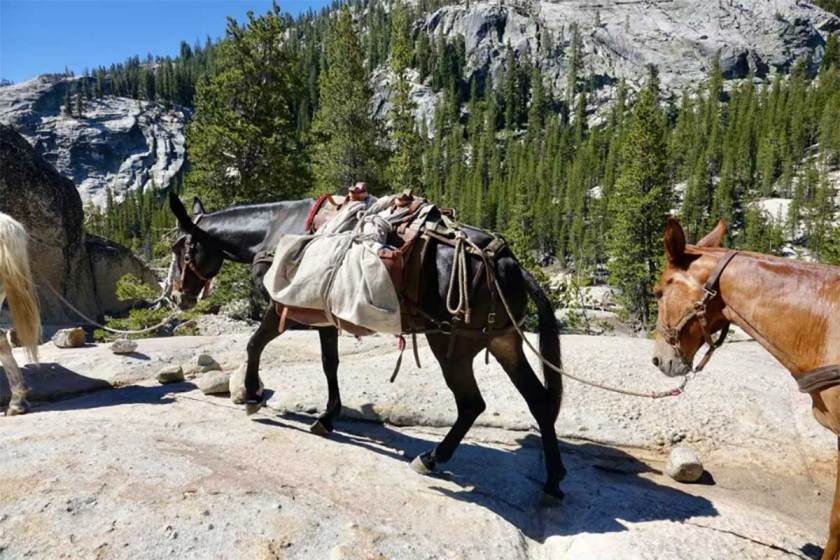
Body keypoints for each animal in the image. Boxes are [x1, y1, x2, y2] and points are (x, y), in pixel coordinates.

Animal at [168, 193, 567, 501]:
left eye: (181, 249)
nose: (176, 296)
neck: (275, 232)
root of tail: (508, 261)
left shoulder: (285, 309)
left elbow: (254, 345)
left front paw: (252, 395)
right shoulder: (323, 318)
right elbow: (329, 363)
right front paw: (327, 417)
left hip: (451, 344)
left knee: (472, 404)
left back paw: (431, 458)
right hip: (503, 341)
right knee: (539, 401)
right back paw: (552, 481)